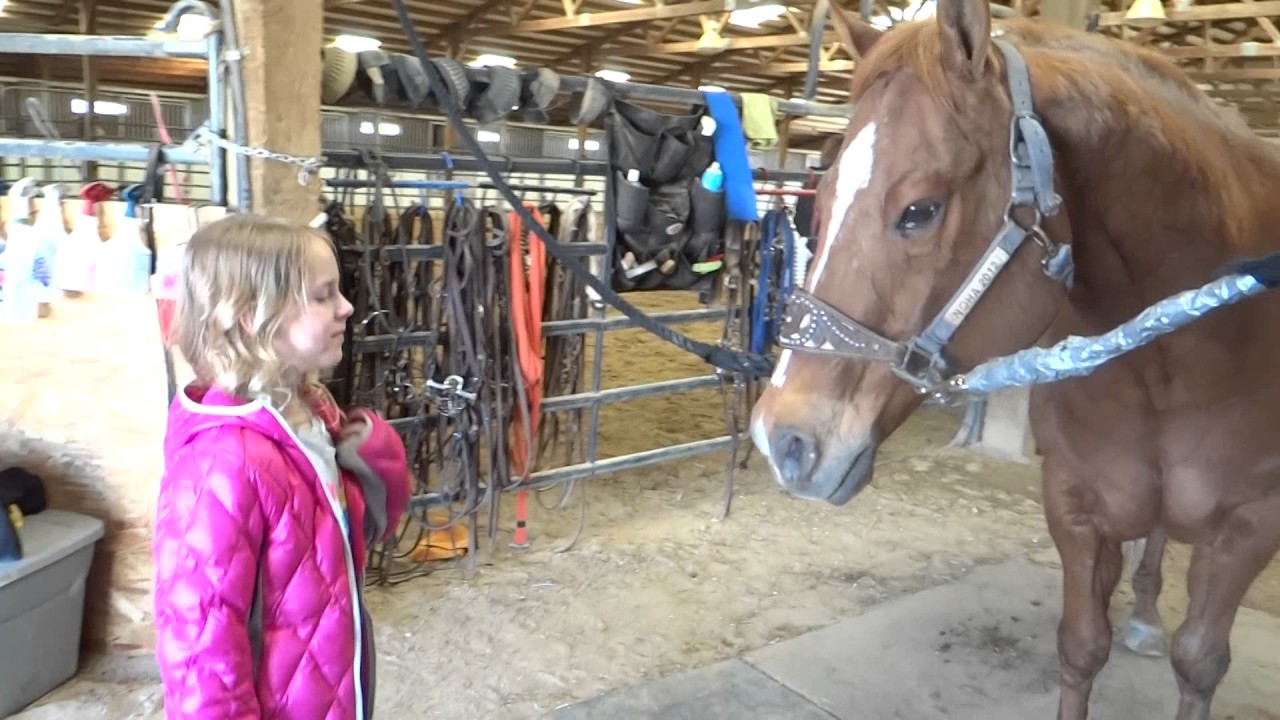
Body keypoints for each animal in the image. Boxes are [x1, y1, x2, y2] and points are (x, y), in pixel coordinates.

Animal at [748, 0, 1280, 717]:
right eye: (818, 206)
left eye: (920, 210)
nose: (781, 440)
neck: (1179, 357)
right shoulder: (1074, 503)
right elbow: (1081, 646)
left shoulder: (1251, 526)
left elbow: (1198, 663)